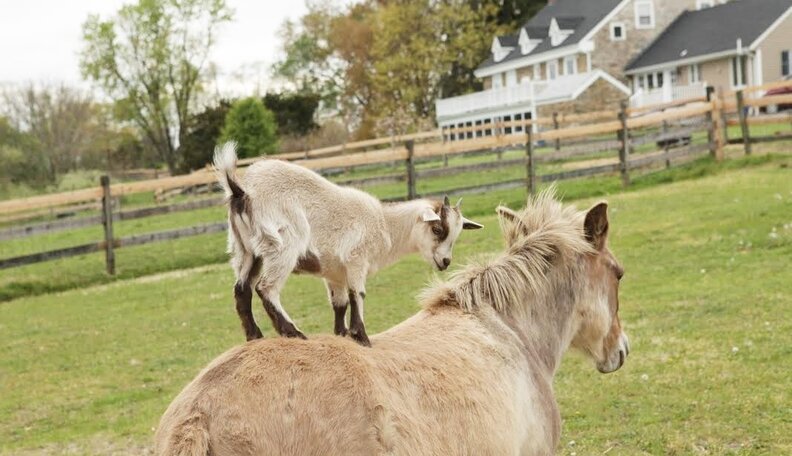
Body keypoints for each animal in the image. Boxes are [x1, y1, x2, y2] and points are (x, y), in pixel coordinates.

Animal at [213, 143, 482, 346]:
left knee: (242, 289)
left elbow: (340, 304)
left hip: (246, 250)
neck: (385, 224)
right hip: (281, 245)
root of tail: (241, 191)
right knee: (266, 288)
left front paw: (342, 334)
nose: (445, 261)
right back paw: (293, 333)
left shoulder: (334, 272)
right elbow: (358, 295)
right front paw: (361, 337)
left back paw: (255, 335)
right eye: (437, 229)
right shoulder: (356, 260)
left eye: (457, 233)